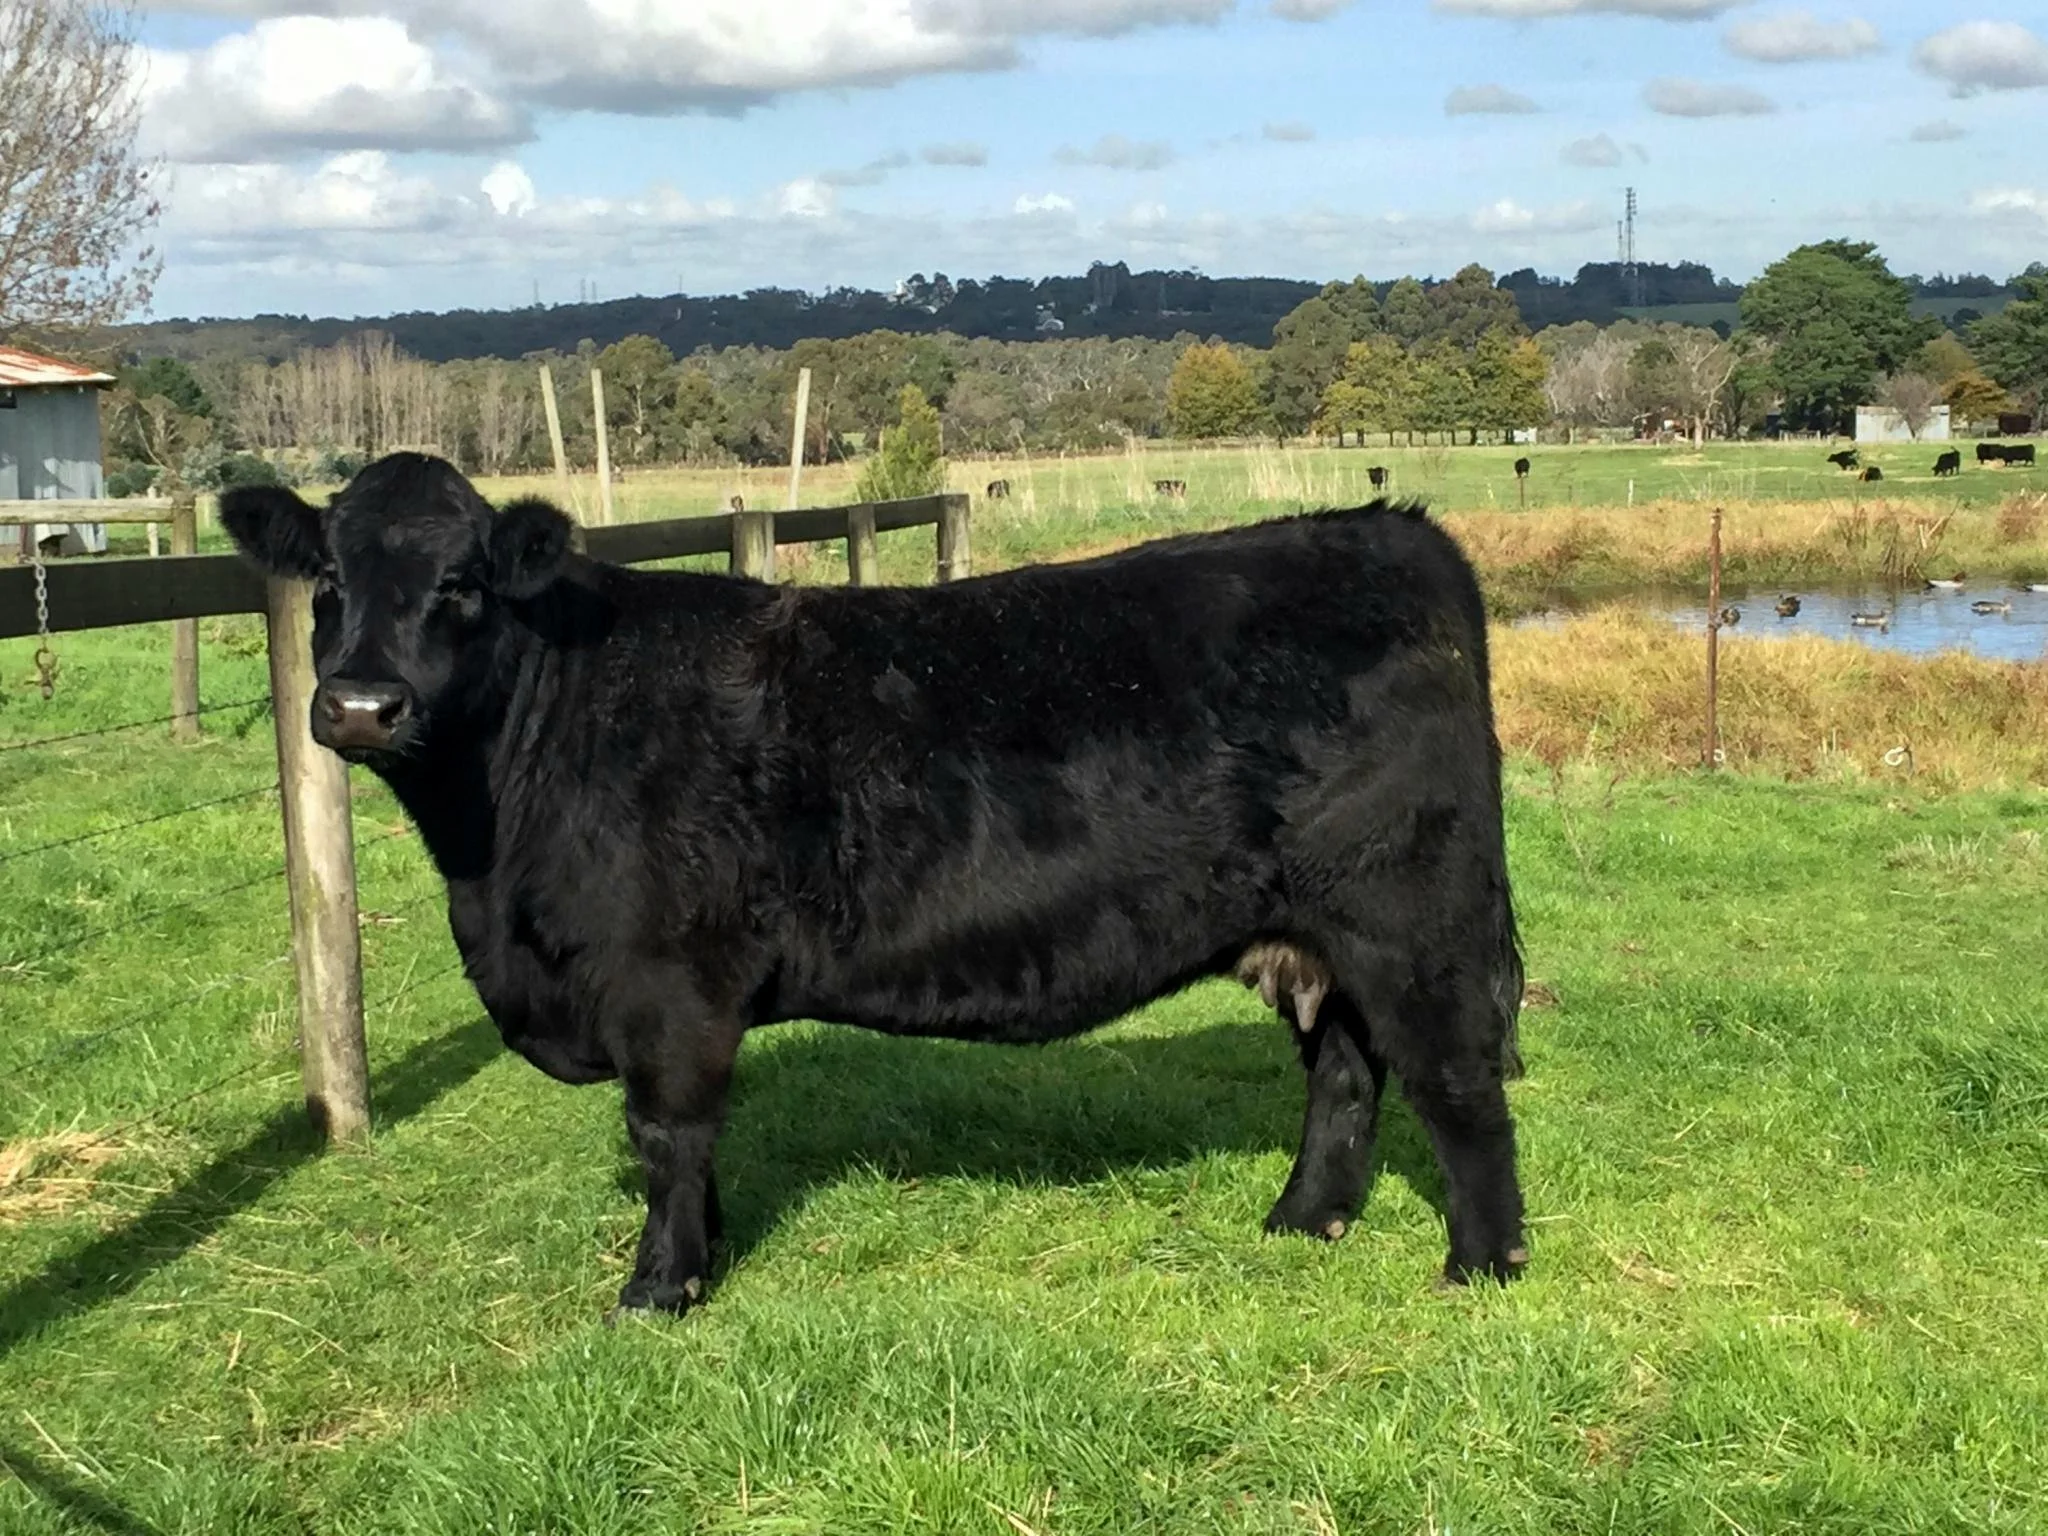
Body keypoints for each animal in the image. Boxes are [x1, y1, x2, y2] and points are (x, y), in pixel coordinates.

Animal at [219, 453, 1531, 1319]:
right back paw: (1301, 1222)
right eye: (325, 581)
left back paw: (1480, 1267)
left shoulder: (665, 983)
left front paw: (658, 1289)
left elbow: (667, 1132)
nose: (360, 705)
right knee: (1346, 1071)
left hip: (1410, 914)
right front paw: (705, 1253)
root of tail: (1388, 529)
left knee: (1454, 1077)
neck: (490, 874)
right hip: (1314, 931)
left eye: (463, 585)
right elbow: (691, 1147)